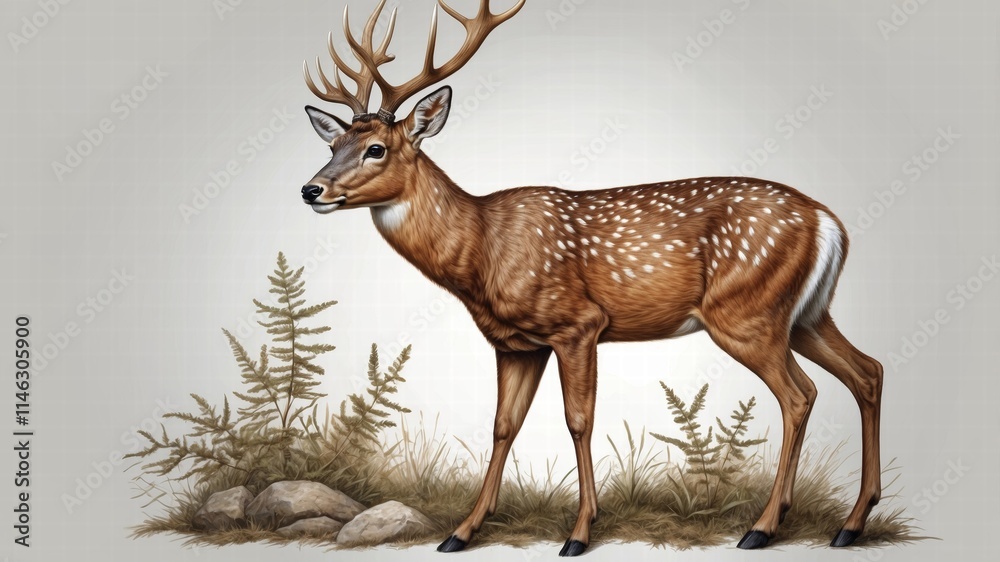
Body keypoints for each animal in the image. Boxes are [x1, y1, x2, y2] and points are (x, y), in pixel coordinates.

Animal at [300, 0, 884, 556]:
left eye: (376, 148)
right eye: (332, 147)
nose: (311, 189)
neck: (483, 252)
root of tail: (828, 223)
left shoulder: (578, 324)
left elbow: (578, 420)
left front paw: (579, 532)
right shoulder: (515, 344)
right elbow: (503, 426)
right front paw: (461, 533)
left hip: (747, 313)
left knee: (800, 395)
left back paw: (762, 528)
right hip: (804, 314)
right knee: (867, 372)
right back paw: (850, 523)